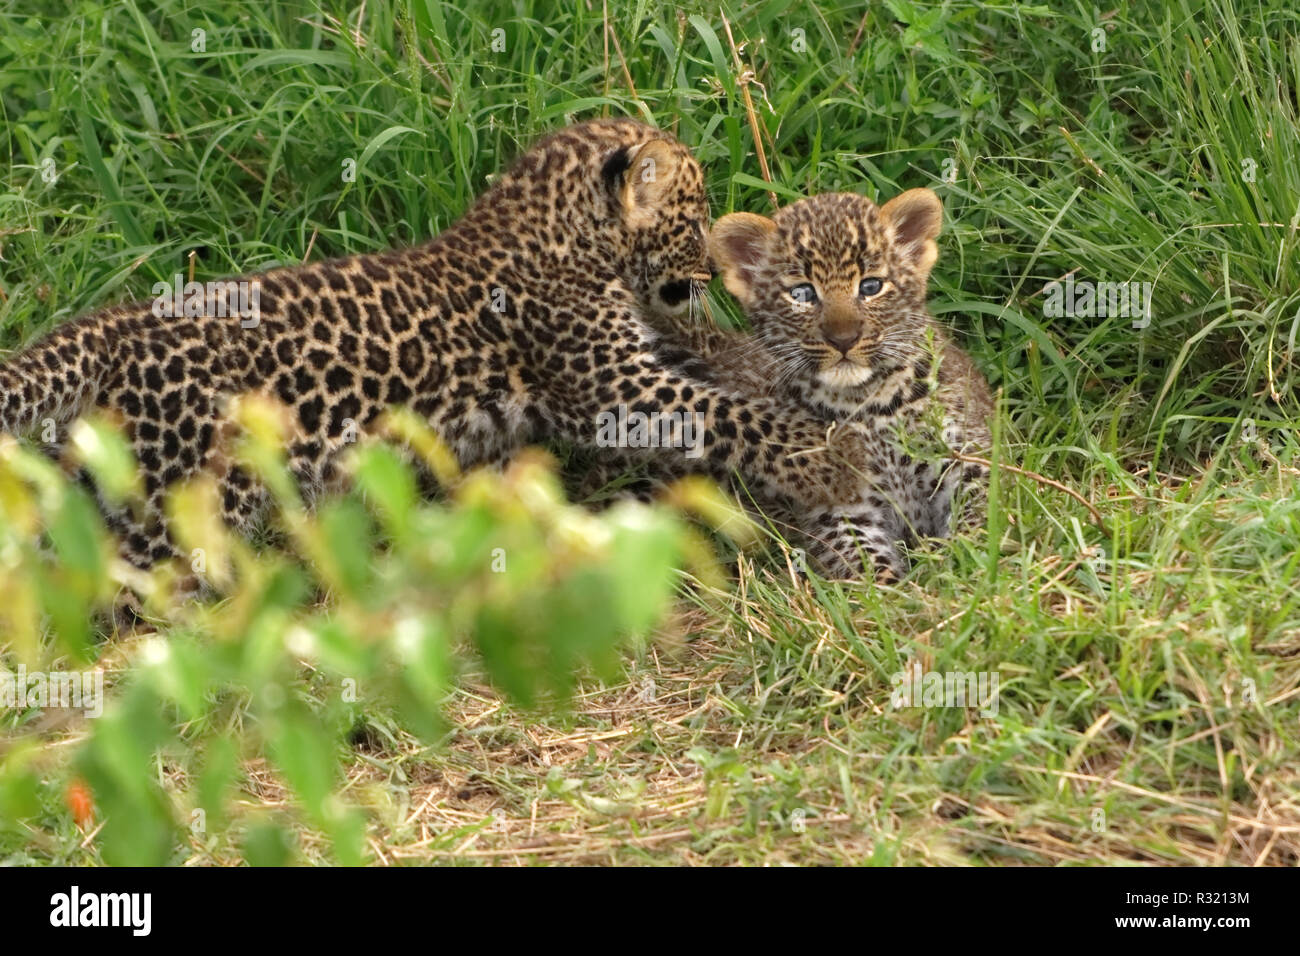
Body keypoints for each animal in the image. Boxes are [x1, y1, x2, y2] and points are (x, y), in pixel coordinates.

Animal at [0, 118, 882, 590]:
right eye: (692, 212)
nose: (710, 264)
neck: (561, 238)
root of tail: (114, 326)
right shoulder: (617, 388)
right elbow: (730, 415)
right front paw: (828, 460)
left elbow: (723, 373)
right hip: (188, 498)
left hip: (117, 483)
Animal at [584, 188, 994, 582]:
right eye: (802, 294)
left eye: (871, 286)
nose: (843, 339)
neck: (865, 401)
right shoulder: (837, 506)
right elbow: (867, 570)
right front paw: (901, 594)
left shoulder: (969, 460)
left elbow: (984, 520)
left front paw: (962, 571)